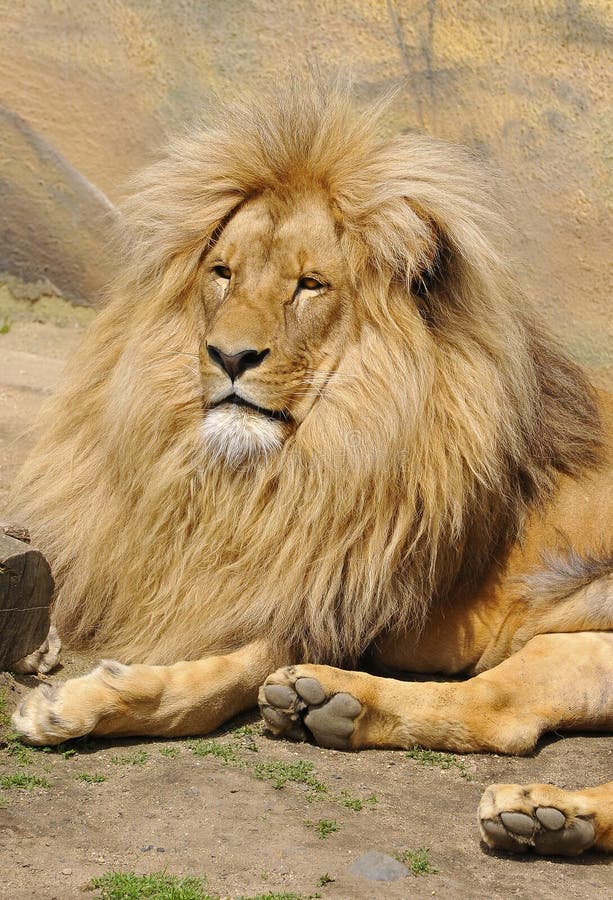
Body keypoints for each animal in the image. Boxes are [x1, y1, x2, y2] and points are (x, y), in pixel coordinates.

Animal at [10, 82, 612, 857]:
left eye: (309, 285)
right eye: (222, 273)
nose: (229, 356)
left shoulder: (341, 587)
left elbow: (227, 664)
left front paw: (79, 695)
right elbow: (221, 670)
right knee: (502, 711)